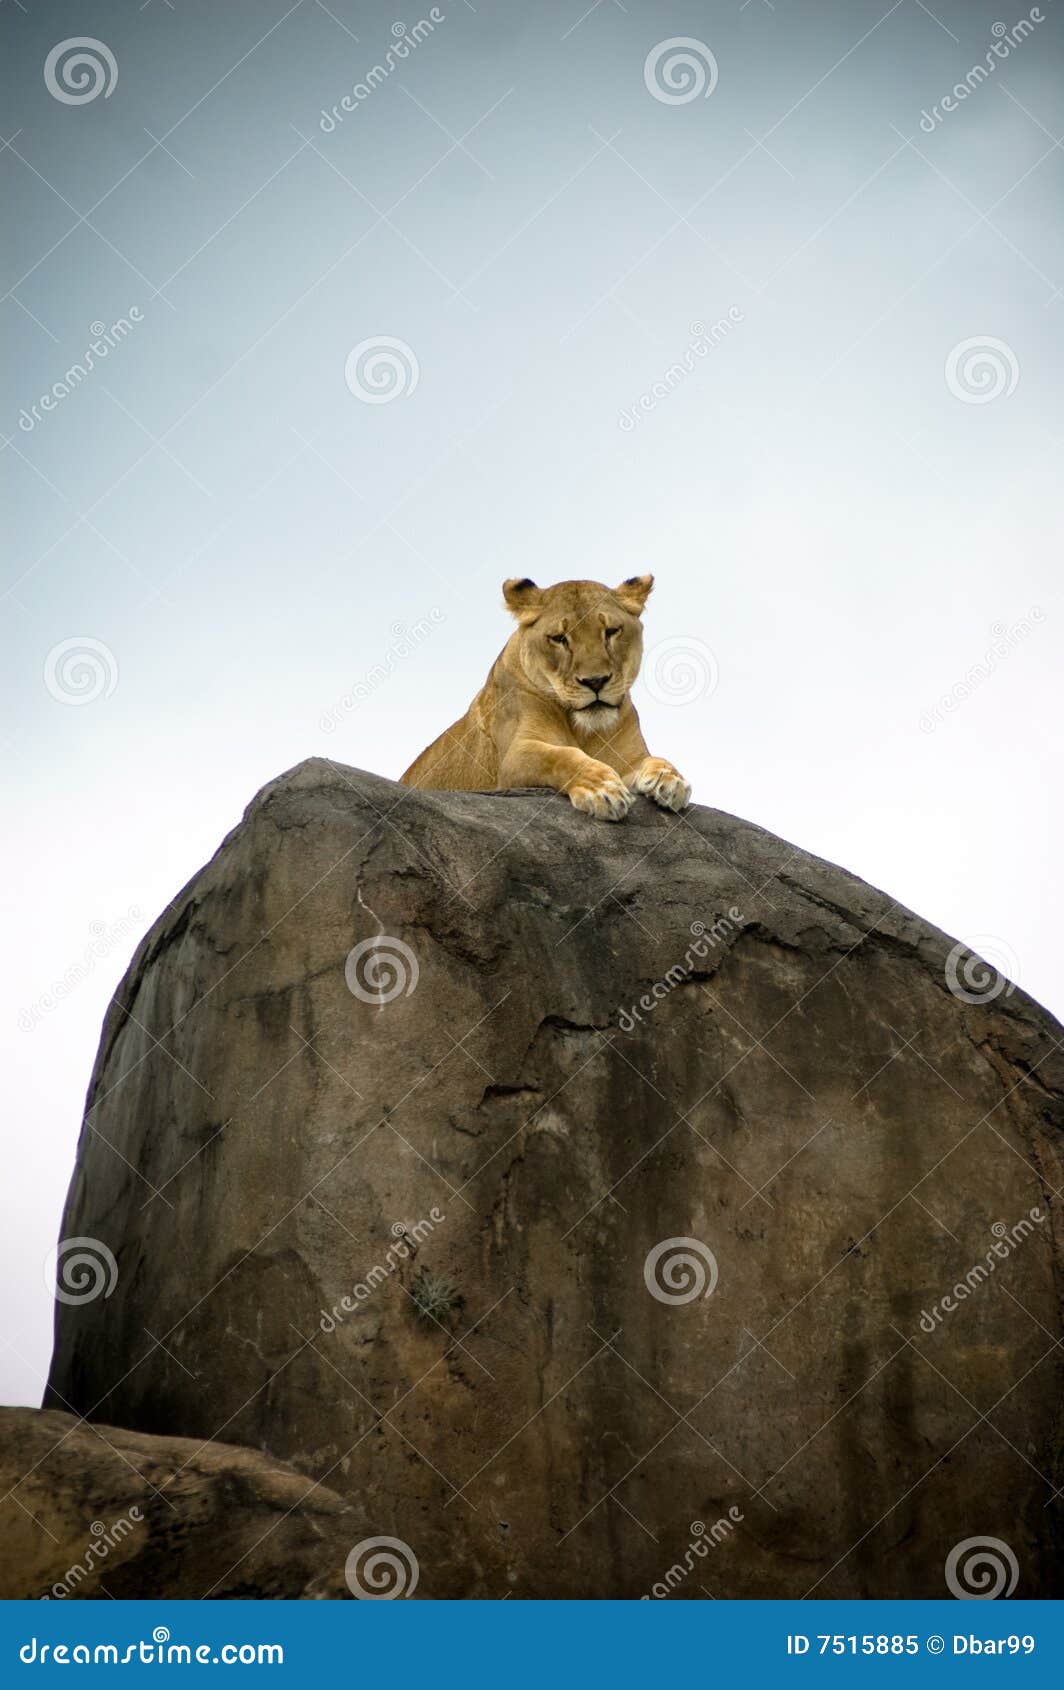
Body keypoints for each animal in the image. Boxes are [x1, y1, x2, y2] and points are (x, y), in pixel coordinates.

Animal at [399, 574, 692, 820]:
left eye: (611, 631)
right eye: (559, 638)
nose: (595, 681)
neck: (584, 730)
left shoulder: (628, 759)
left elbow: (655, 759)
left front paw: (670, 780)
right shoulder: (514, 757)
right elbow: (561, 756)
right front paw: (601, 789)